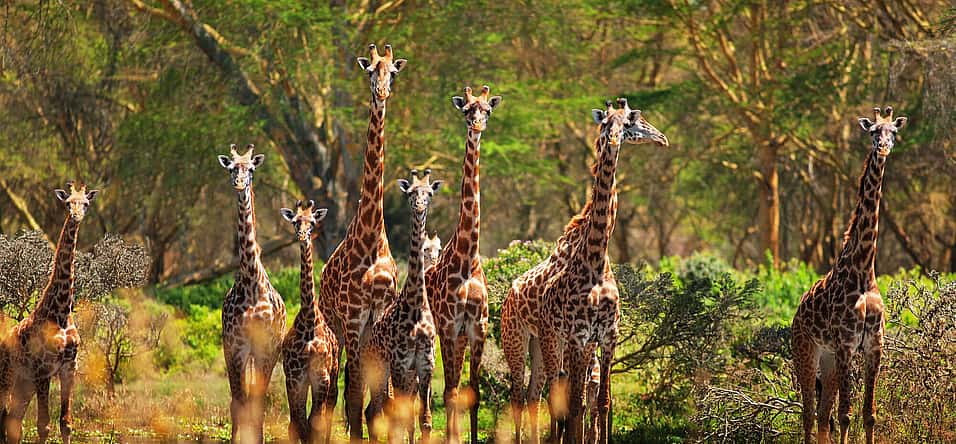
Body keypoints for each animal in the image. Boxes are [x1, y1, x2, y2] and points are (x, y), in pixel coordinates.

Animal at [0, 182, 97, 444]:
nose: (76, 216)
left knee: (13, 423)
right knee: (6, 419)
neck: (61, 312)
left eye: (86, 203)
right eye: (68, 203)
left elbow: (66, 423)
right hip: (7, 378)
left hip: (23, 384)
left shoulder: (68, 368)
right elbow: (43, 425)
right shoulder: (43, 369)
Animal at [363, 169, 443, 444]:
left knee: (382, 411)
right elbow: (398, 417)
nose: (419, 206)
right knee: (374, 411)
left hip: (403, 375)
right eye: (410, 193)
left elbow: (425, 420)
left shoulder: (425, 364)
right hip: (379, 370)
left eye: (429, 193)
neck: (417, 305)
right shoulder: (399, 364)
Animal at [501, 99, 668, 444]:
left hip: (542, 345)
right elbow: (575, 404)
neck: (594, 259)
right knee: (522, 396)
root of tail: (510, 292)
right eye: (607, 124)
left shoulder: (605, 336)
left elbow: (602, 402)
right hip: (521, 338)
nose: (662, 138)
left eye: (630, 122)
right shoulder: (578, 337)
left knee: (536, 395)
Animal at [791, 106, 905, 444]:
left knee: (821, 415)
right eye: (873, 132)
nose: (883, 147)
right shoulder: (846, 343)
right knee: (808, 414)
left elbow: (868, 415)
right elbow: (846, 415)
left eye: (893, 131)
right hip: (805, 351)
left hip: (828, 360)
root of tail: (797, 312)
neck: (864, 269)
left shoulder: (873, 346)